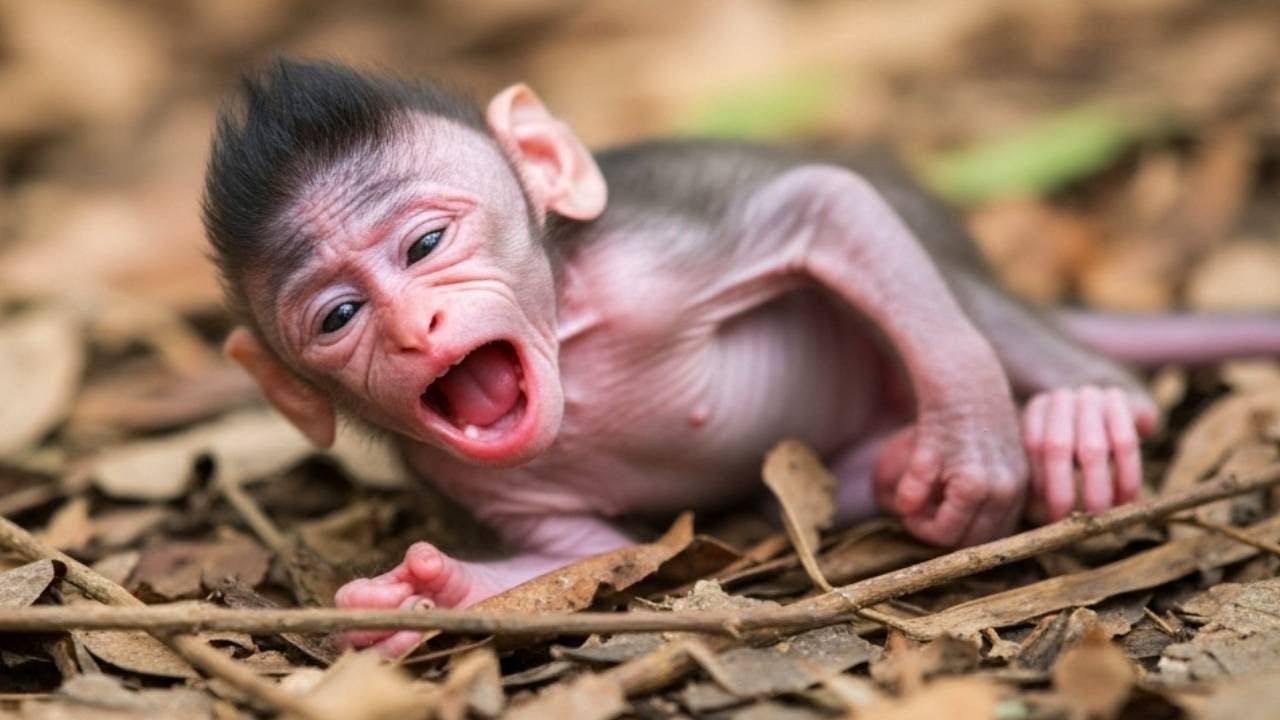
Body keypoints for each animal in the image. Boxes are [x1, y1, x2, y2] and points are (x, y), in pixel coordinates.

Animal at [202, 59, 1280, 657]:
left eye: (425, 244)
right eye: (339, 315)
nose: (414, 328)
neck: (569, 344)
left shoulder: (649, 267)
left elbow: (828, 206)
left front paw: (973, 449)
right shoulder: (456, 468)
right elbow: (582, 558)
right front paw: (428, 595)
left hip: (966, 275)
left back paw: (1080, 404)